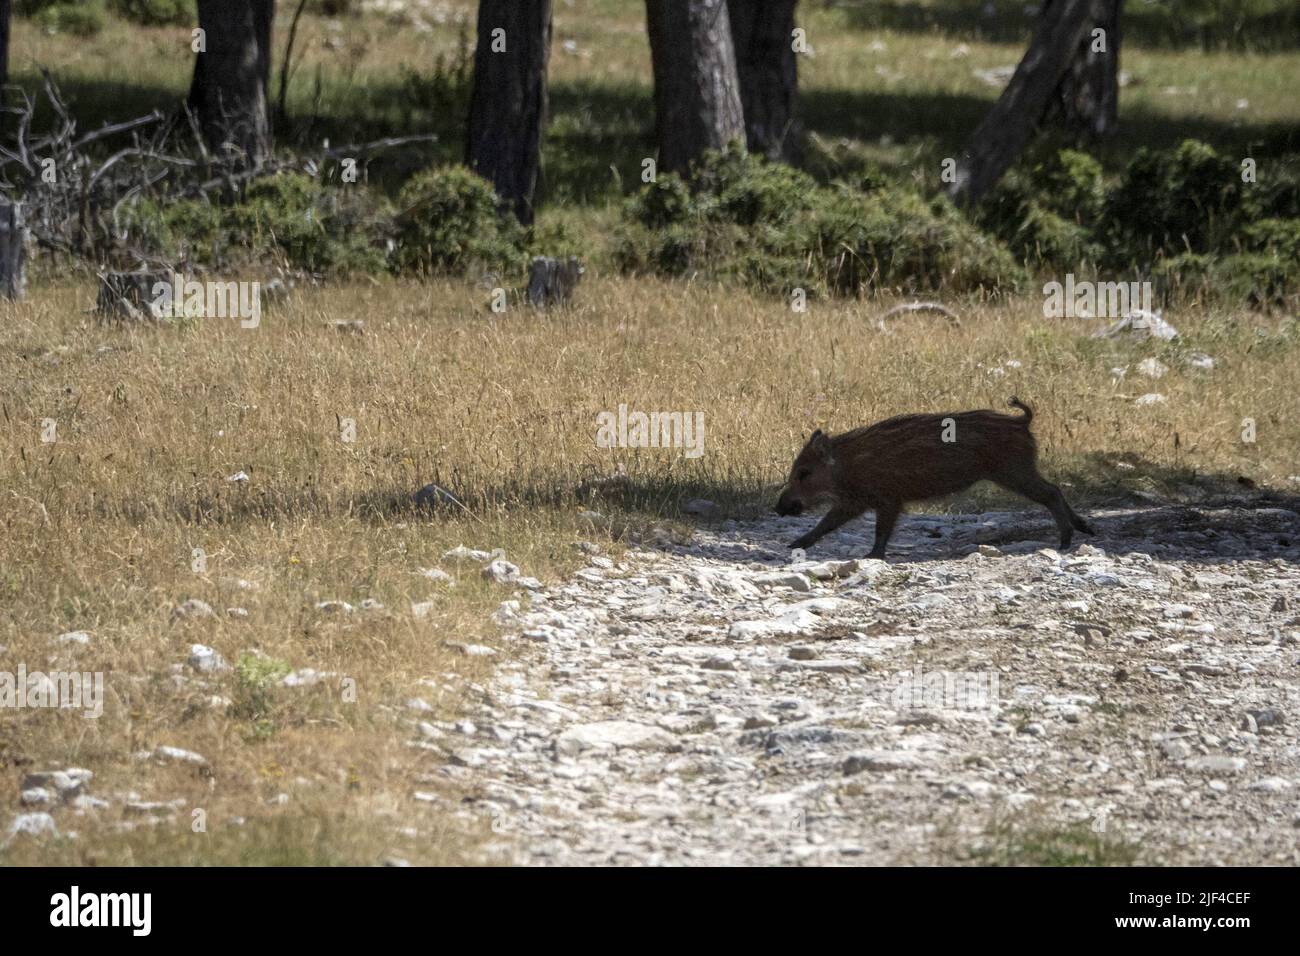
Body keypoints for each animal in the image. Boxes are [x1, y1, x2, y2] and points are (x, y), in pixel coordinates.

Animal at [775, 398, 1094, 559]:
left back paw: (1066, 540)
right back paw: (1084, 529)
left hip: (1014, 472)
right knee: (1055, 489)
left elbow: (879, 530)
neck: (844, 465)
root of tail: (1022, 421)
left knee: (1051, 492)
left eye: (804, 473)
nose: (778, 508)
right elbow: (826, 524)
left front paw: (872, 556)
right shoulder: (855, 502)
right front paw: (794, 545)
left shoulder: (886, 499)